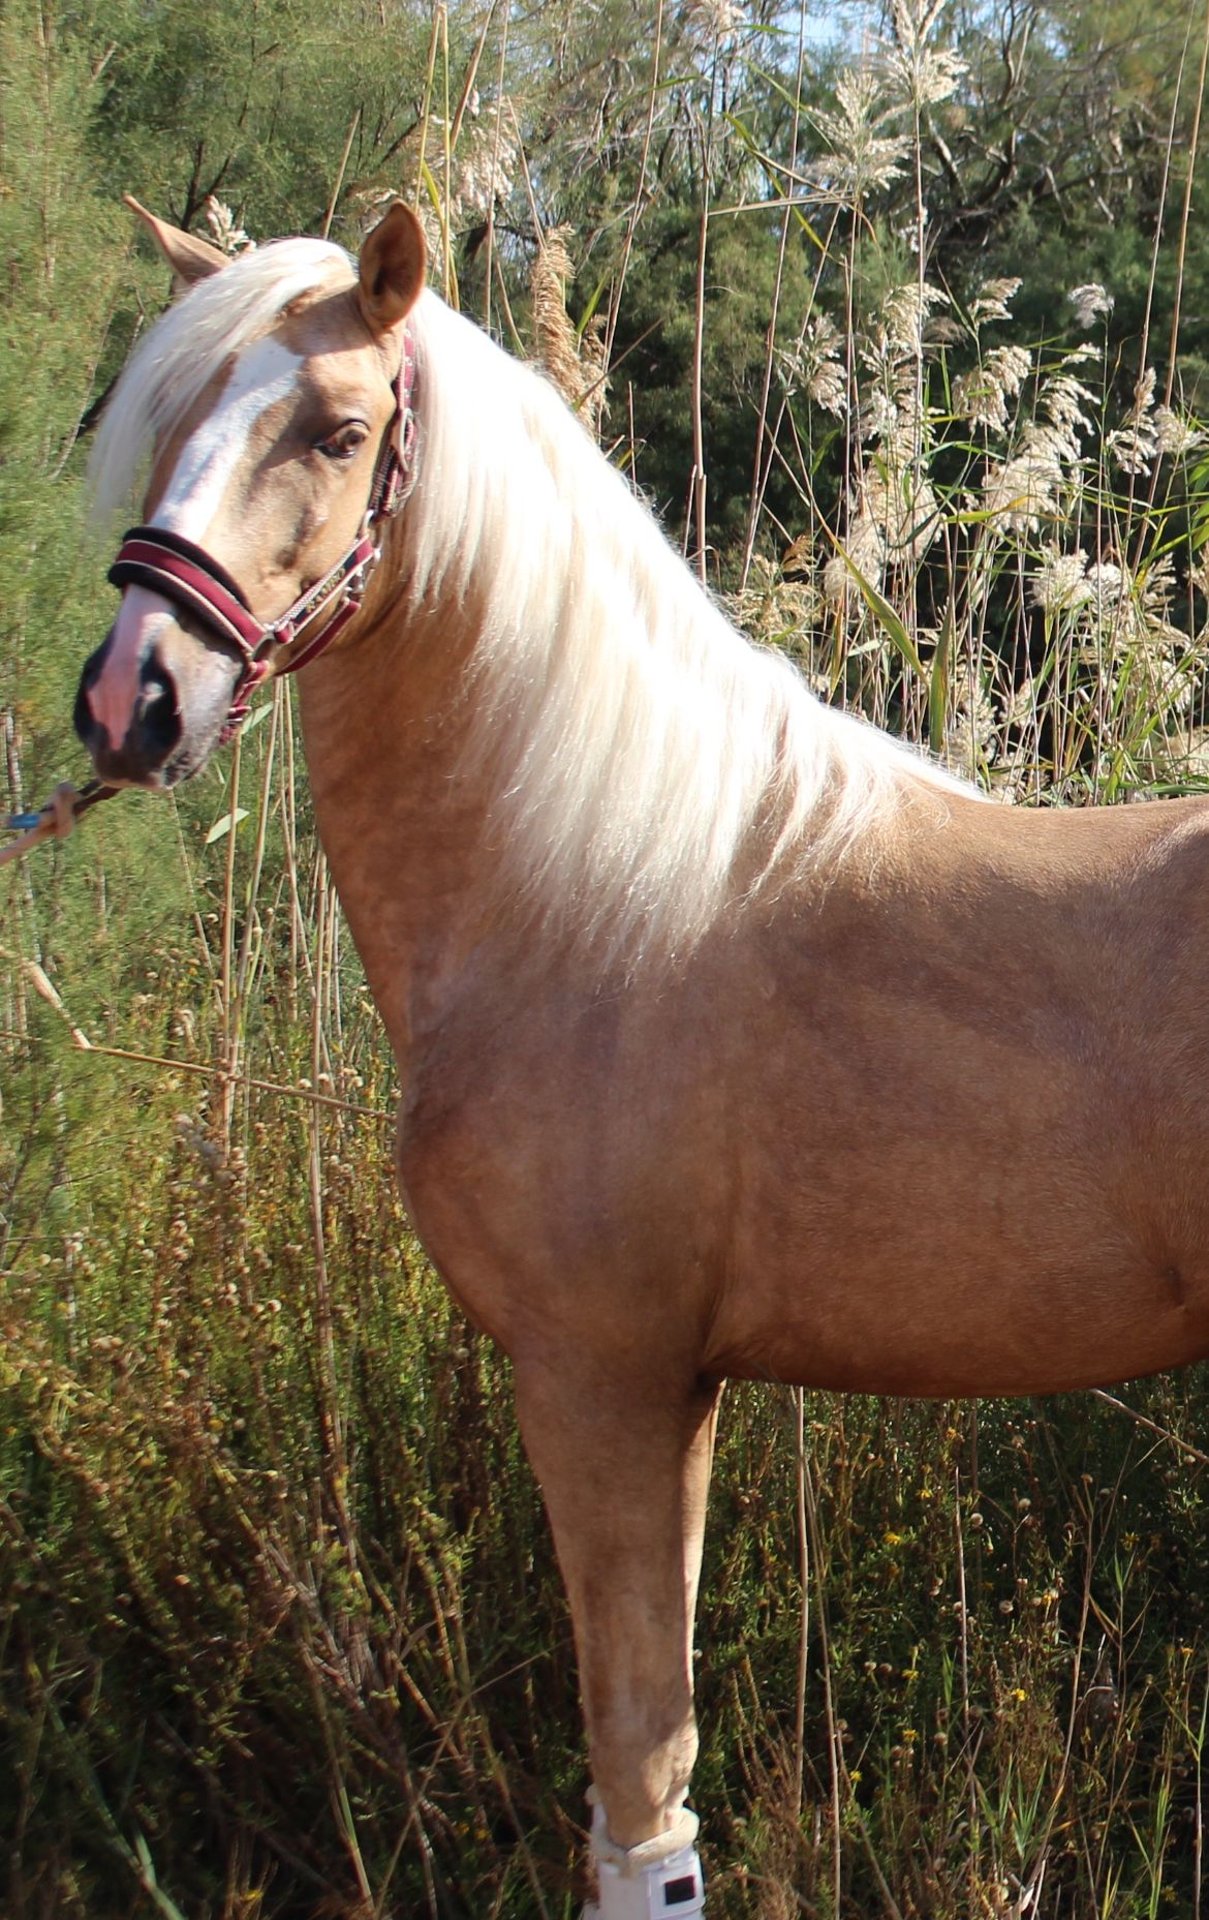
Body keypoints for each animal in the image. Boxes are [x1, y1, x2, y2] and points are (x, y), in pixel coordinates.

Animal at [74, 199, 1209, 1917]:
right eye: (164, 423)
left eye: (338, 430)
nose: (133, 698)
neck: (598, 890)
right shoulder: (669, 1388)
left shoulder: (600, 1374)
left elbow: (638, 1774)